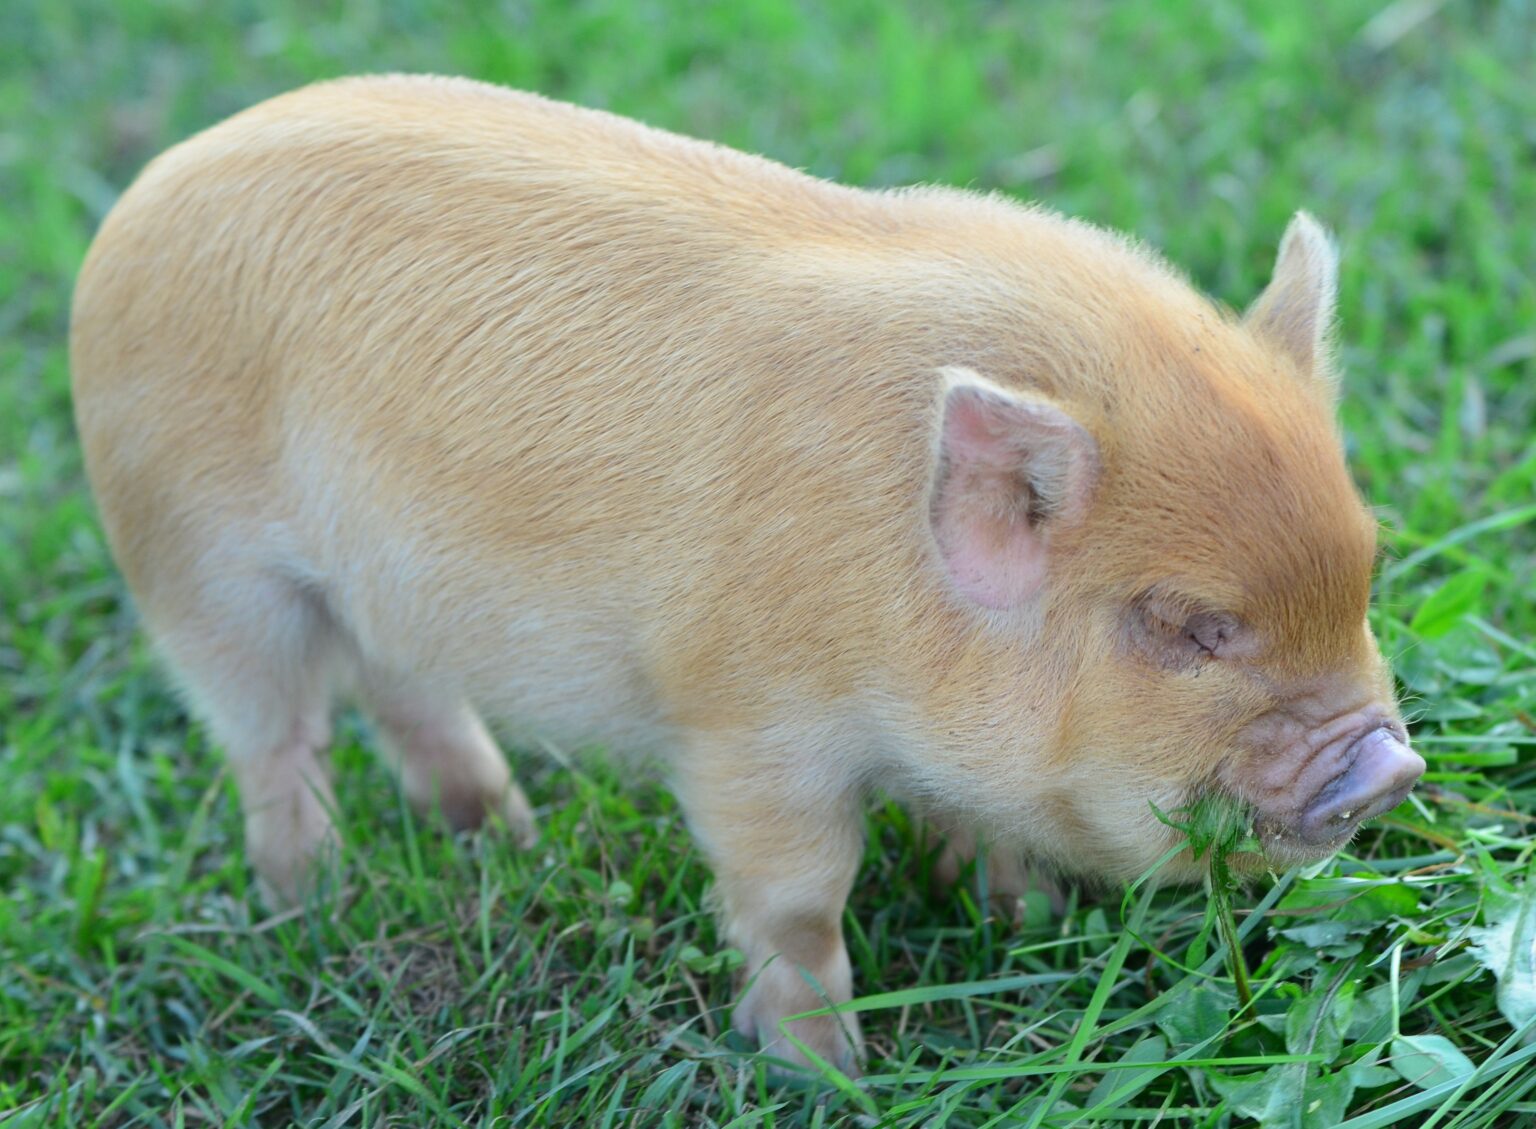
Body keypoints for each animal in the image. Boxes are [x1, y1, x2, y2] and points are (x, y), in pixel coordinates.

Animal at [70, 74, 1423, 1072]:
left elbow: (981, 829)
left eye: (1368, 571)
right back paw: (312, 901)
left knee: (404, 694)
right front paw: (825, 1074)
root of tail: (141, 198)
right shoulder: (742, 725)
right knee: (276, 739)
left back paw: (498, 836)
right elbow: (796, 901)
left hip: (387, 593)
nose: (1391, 765)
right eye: (1189, 624)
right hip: (196, 568)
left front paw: (1020, 921)